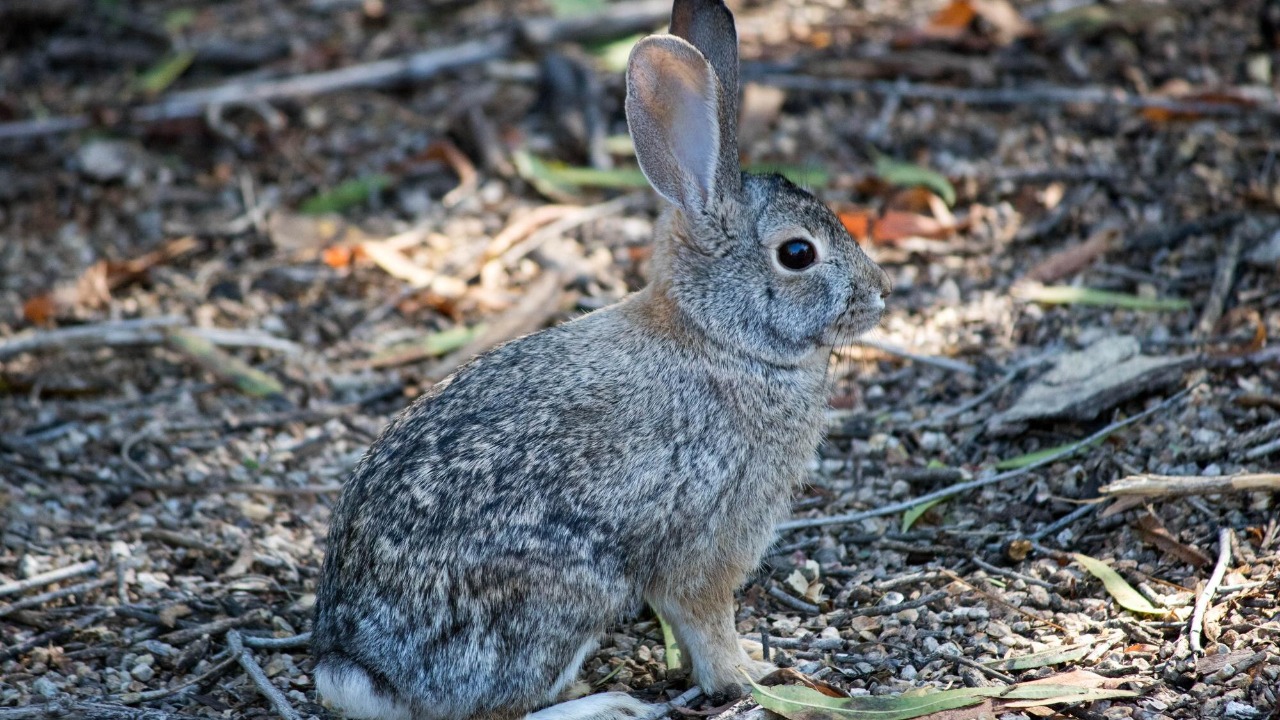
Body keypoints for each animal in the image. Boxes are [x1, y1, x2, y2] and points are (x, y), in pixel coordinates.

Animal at [311, 0, 891, 718]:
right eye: (798, 254)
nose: (879, 295)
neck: (717, 337)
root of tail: (361, 670)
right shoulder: (710, 541)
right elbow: (707, 622)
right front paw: (751, 675)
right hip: (562, 600)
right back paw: (607, 704)